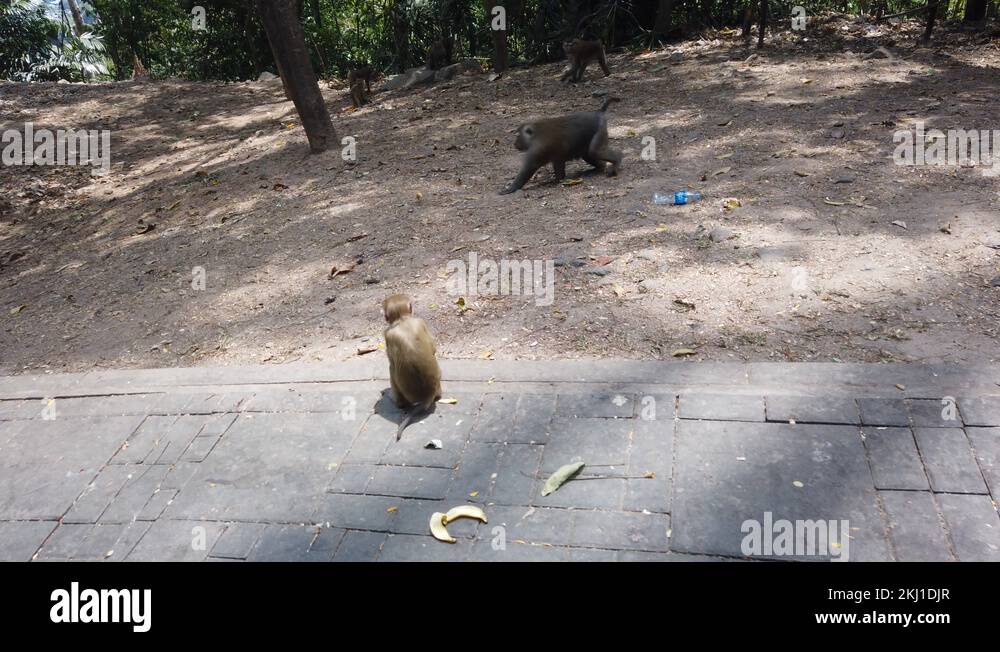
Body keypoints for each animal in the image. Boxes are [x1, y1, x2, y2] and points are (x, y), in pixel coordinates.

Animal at [383, 294, 442, 440]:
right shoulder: (420, 322)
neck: (402, 320)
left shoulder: (388, 334)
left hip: (407, 394)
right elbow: (433, 349)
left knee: (392, 369)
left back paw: (397, 402)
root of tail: (426, 396)